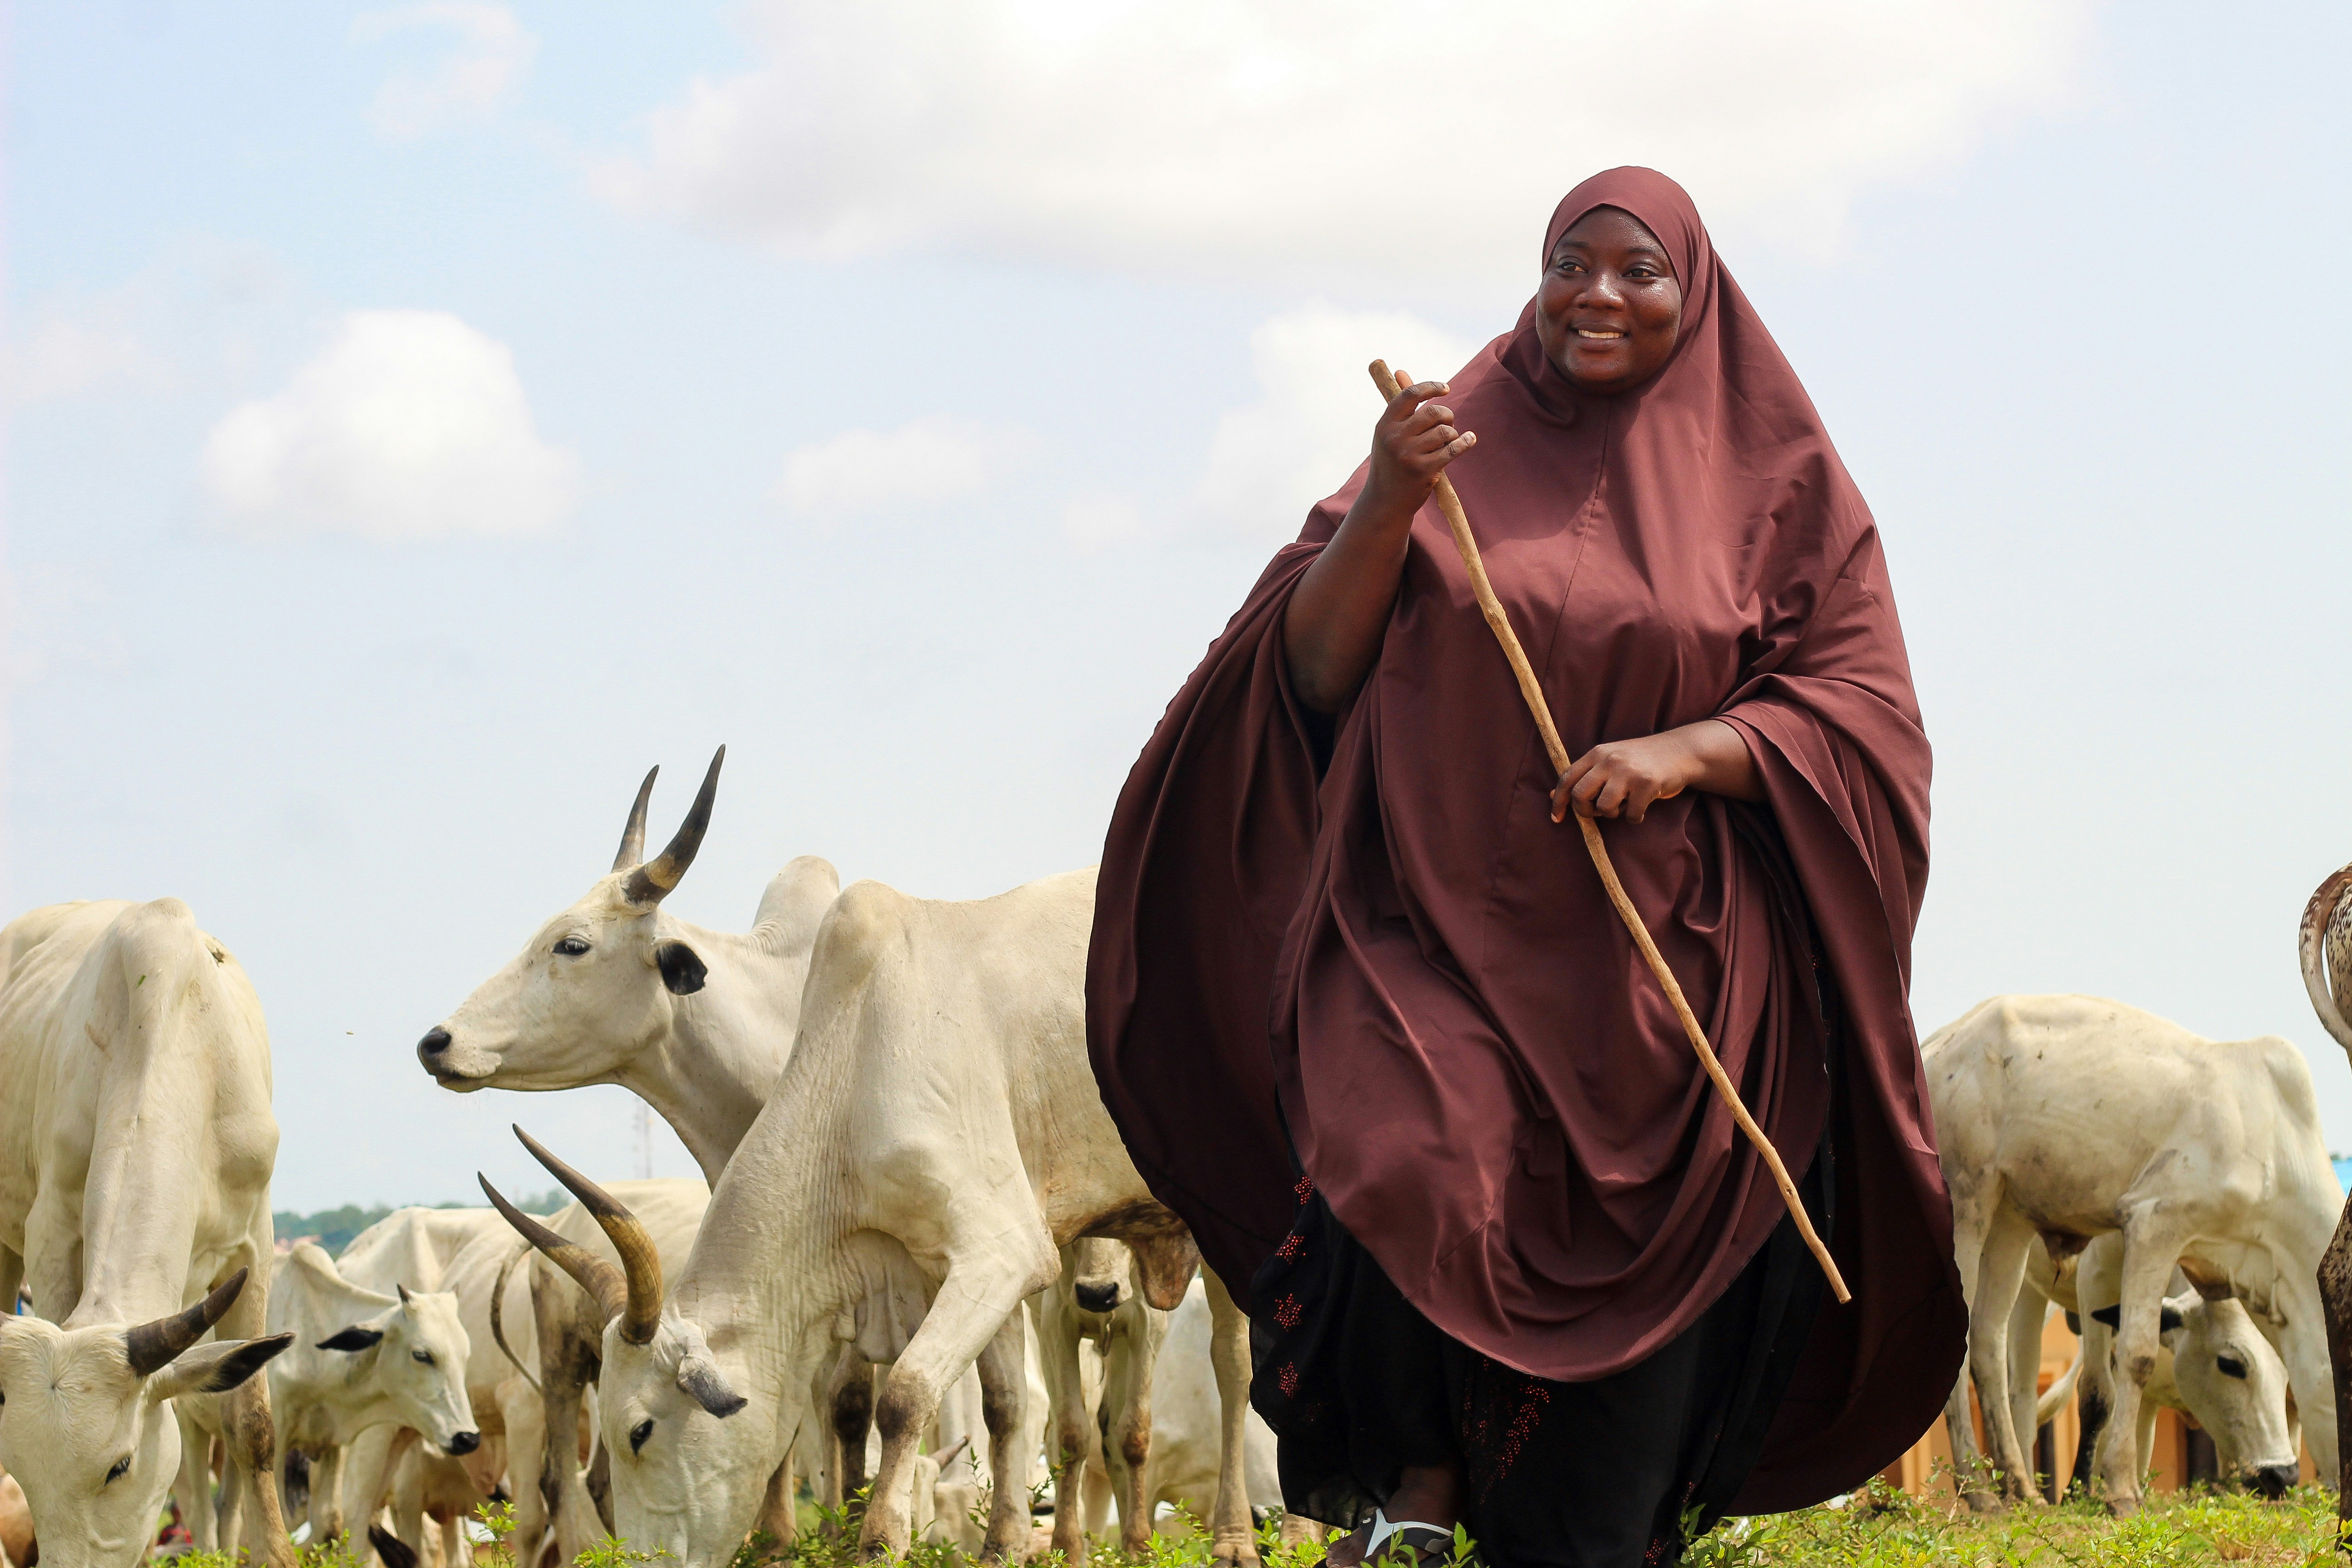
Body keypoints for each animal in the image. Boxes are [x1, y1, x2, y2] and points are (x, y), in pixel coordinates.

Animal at [1924, 994, 2341, 1515]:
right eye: (2231, 1364)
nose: (2283, 1475)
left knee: (1986, 1340)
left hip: (2009, 1222)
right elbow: (2136, 1357)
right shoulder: (2153, 1224)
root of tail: (1937, 1045)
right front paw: (2120, 1488)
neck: (2274, 1144)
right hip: (1968, 1203)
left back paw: (2022, 1488)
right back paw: (1980, 1491)